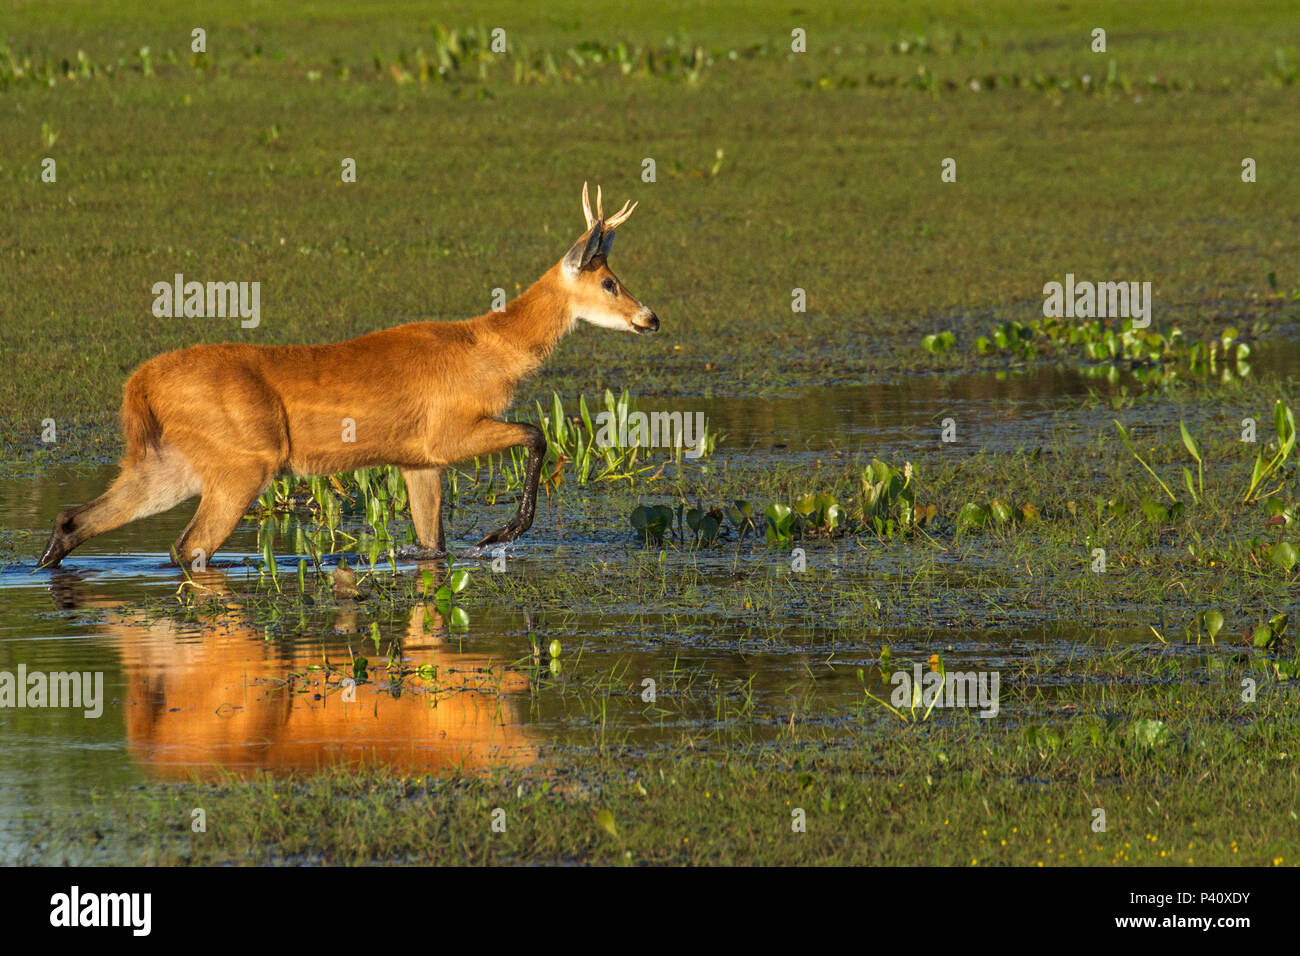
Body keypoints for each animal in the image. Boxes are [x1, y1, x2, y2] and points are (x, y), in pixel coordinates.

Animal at [37, 183, 658, 570]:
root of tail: (139, 383)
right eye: (609, 283)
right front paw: (500, 533)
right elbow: (536, 432)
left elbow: (432, 547)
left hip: (176, 461)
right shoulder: (447, 432)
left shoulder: (417, 460)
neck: (488, 348)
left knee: (77, 516)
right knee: (188, 548)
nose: (650, 318)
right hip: (246, 461)